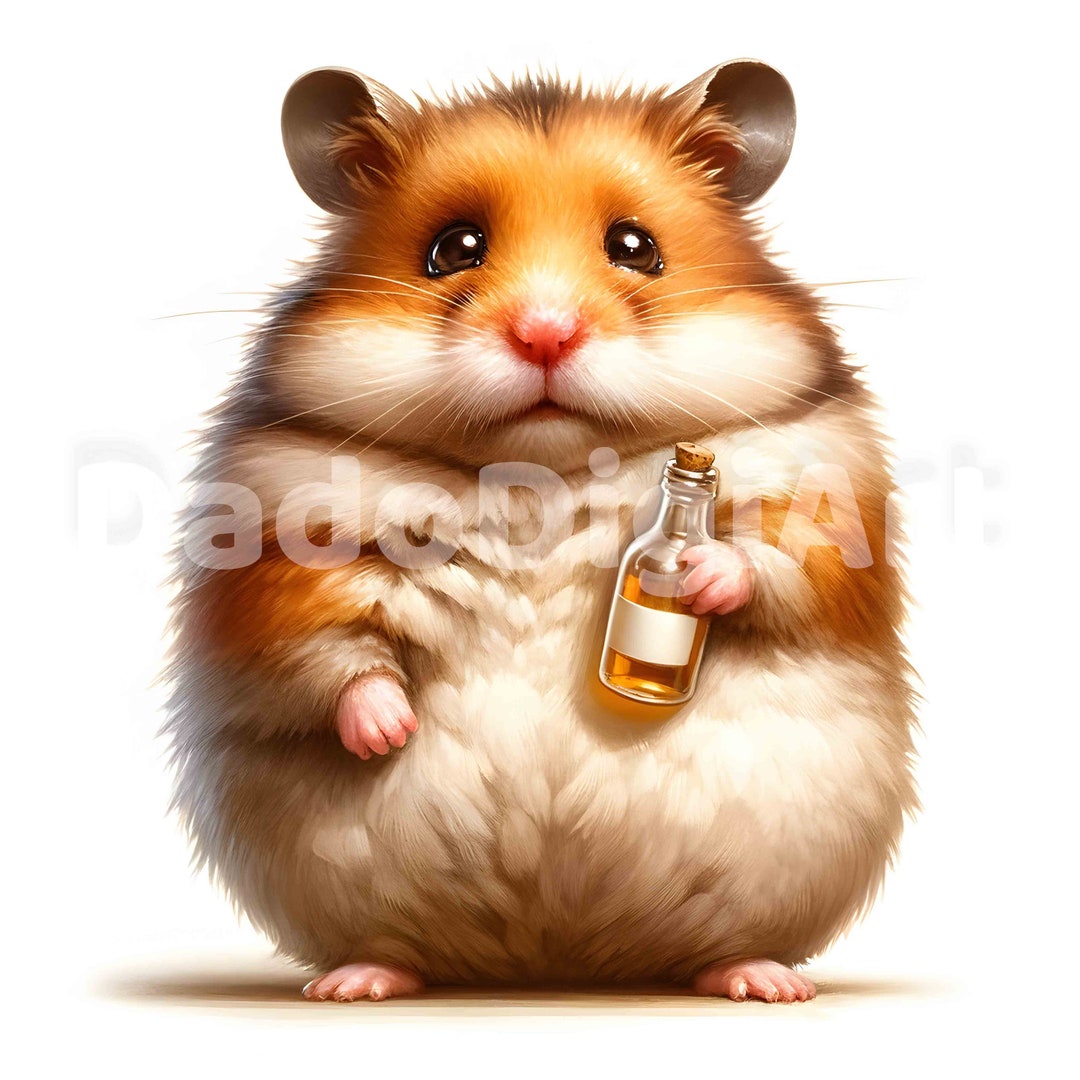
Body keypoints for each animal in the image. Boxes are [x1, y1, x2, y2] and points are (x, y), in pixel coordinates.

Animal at [164, 60, 916, 1004]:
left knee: (729, 945)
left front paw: (700, 576)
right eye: (454, 248)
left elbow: (781, 562)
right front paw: (390, 732)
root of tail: (554, 961)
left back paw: (764, 982)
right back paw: (354, 982)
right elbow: (319, 646)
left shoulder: (828, 501)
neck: (541, 473)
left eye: (635, 247)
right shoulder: (276, 539)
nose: (545, 334)